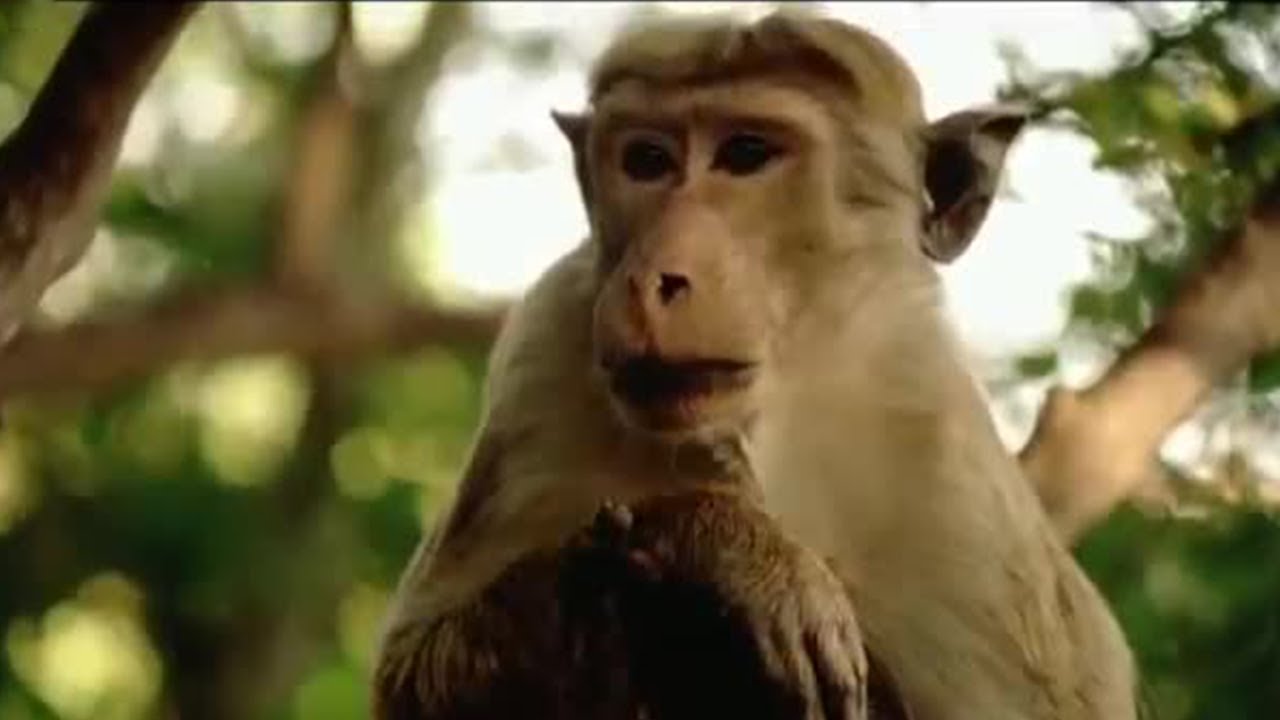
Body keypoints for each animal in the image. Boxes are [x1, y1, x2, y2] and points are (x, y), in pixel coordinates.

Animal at [376, 9, 1137, 720]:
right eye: (647, 160)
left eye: (746, 154)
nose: (652, 278)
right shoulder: (544, 354)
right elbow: (411, 673)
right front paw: (722, 549)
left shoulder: (952, 474)